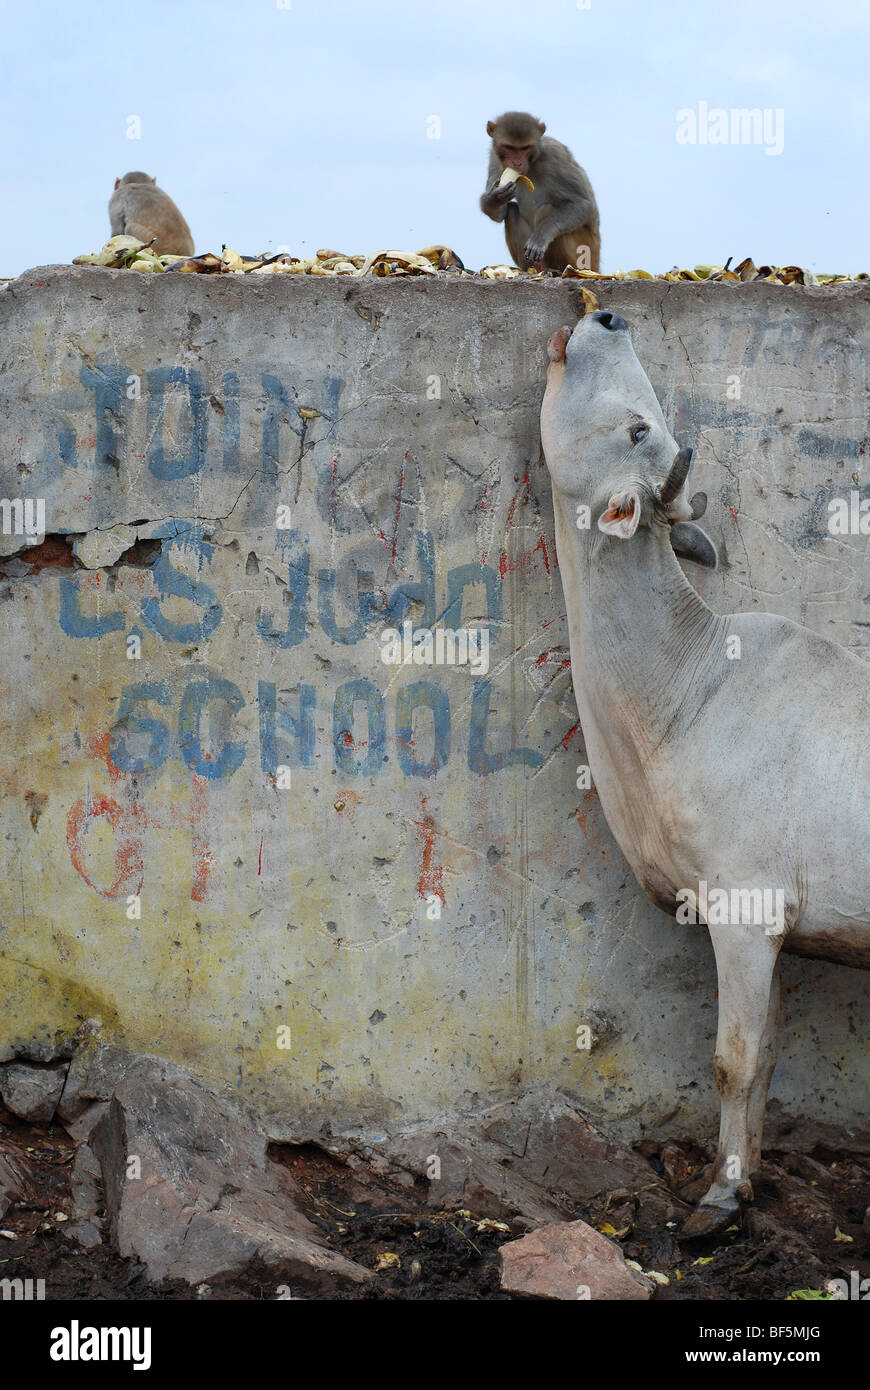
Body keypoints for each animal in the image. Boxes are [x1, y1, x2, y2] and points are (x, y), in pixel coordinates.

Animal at [480, 112, 600, 273]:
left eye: (525, 148)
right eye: (509, 147)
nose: (517, 163)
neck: (533, 161)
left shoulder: (556, 156)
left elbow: (583, 204)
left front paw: (541, 237)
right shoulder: (494, 157)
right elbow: (500, 213)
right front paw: (495, 198)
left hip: (588, 251)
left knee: (546, 209)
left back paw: (558, 269)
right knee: (511, 211)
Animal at [540, 309, 870, 1237]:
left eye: (639, 428)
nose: (609, 313)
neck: (685, 689)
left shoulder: (745, 908)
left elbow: (734, 1060)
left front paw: (719, 1197)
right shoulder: (775, 932)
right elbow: (766, 1060)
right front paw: (747, 1176)